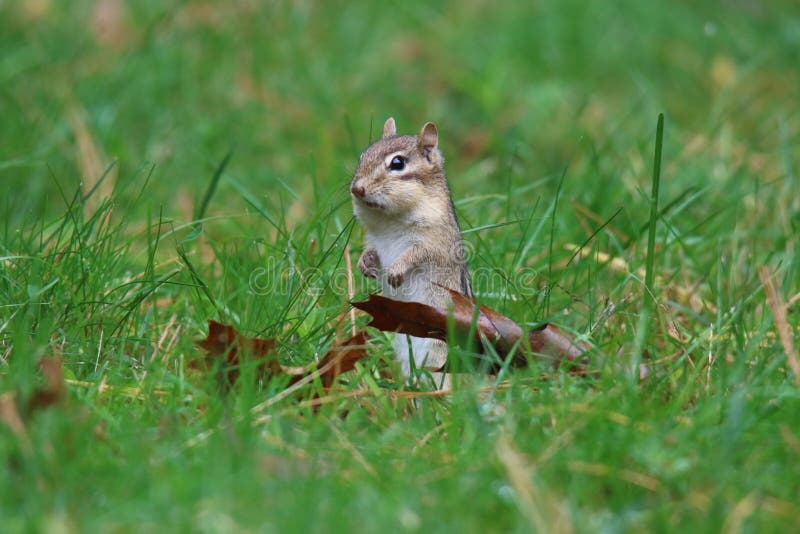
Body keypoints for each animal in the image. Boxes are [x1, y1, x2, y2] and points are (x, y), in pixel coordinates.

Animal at [351, 117, 471, 382]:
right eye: (362, 155)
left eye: (398, 163)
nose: (357, 189)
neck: (389, 221)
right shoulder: (375, 239)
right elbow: (371, 250)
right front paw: (364, 263)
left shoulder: (434, 241)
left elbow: (417, 255)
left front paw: (397, 271)